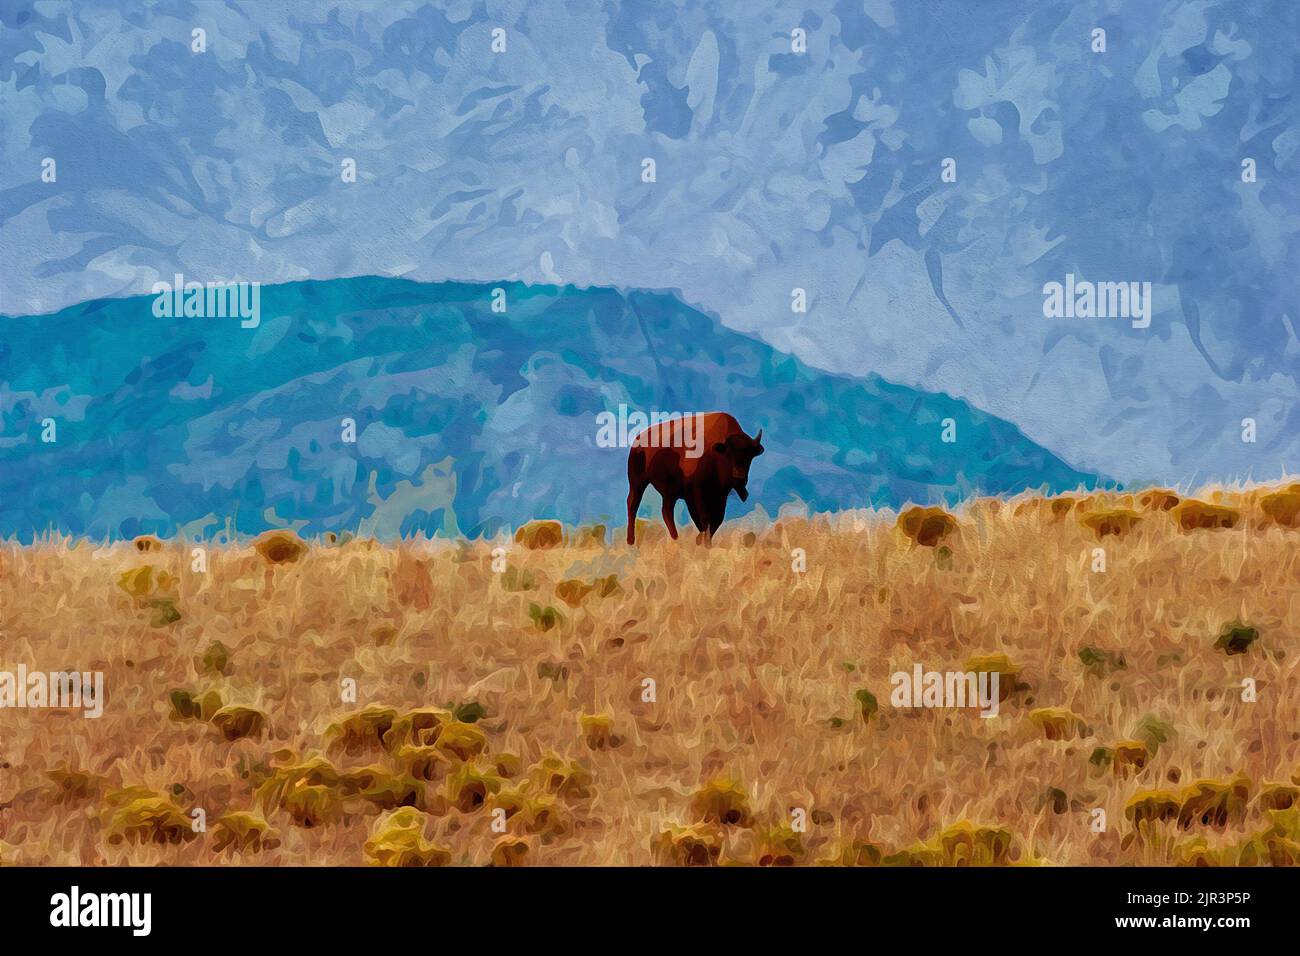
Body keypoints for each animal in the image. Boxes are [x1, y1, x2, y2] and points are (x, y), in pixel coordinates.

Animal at [626, 412, 764, 545]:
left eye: (749, 456)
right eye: (728, 454)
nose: (739, 475)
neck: (715, 452)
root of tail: (637, 441)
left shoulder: (720, 497)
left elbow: (716, 521)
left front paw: (705, 544)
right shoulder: (694, 494)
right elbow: (702, 520)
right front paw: (701, 543)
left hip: (669, 492)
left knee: (666, 511)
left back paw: (676, 539)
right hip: (637, 482)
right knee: (633, 504)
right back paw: (631, 541)